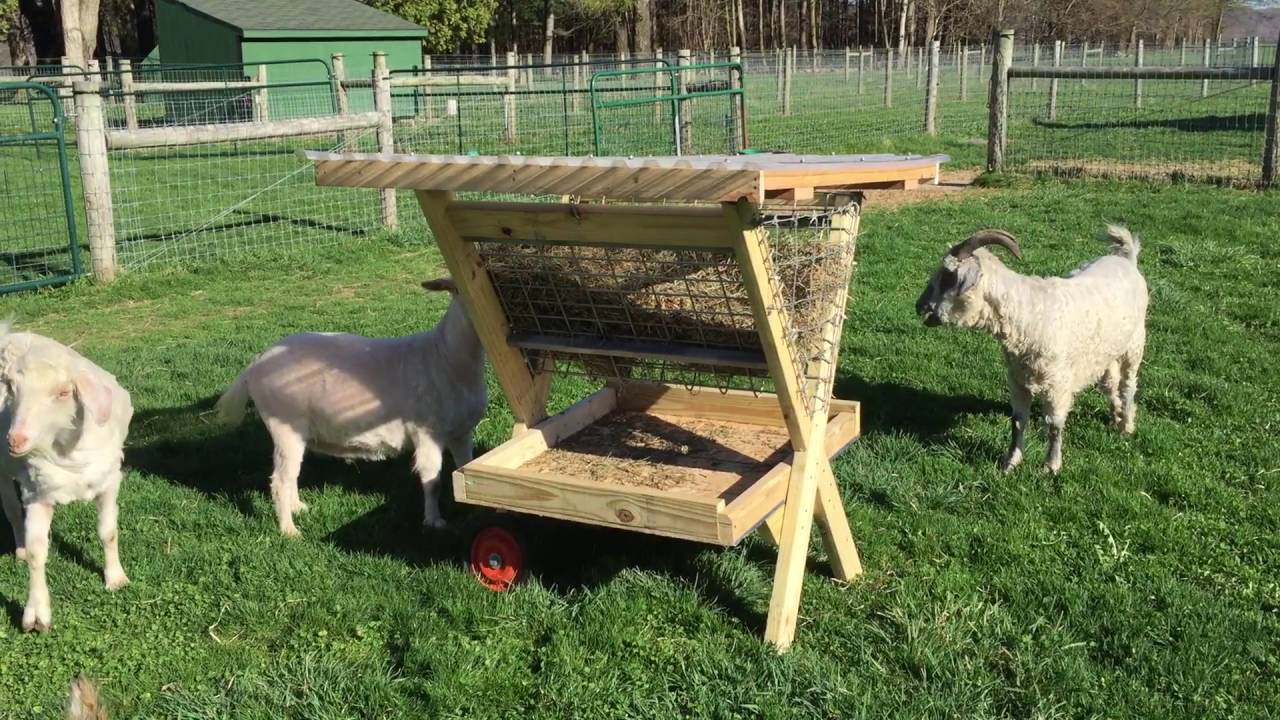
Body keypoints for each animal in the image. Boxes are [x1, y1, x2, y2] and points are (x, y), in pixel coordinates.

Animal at [0, 324, 133, 632]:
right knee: (12, 511)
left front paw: (116, 578)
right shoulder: (37, 494)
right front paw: (36, 615)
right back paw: (19, 547)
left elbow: (108, 532)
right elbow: (37, 553)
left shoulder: (108, 484)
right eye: (11, 388)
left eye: (63, 392)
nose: (16, 440)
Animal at [215, 278, 486, 536]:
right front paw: (434, 522)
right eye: (459, 290)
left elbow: (465, 467)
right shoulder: (427, 431)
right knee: (281, 479)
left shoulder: (461, 431)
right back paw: (289, 530)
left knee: (290, 474)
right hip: (283, 424)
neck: (444, 358)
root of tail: (254, 365)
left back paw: (298, 508)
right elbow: (433, 479)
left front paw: (471, 509)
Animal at [915, 226, 1148, 474]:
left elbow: (1054, 425)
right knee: (1110, 383)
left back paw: (1126, 425)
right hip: (1107, 351)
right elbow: (1017, 422)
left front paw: (1051, 466)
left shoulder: (1057, 385)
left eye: (948, 277)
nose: (920, 306)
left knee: (1128, 385)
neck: (1028, 315)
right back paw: (1116, 415)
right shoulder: (1018, 380)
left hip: (1135, 344)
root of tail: (1127, 260)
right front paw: (1010, 463)